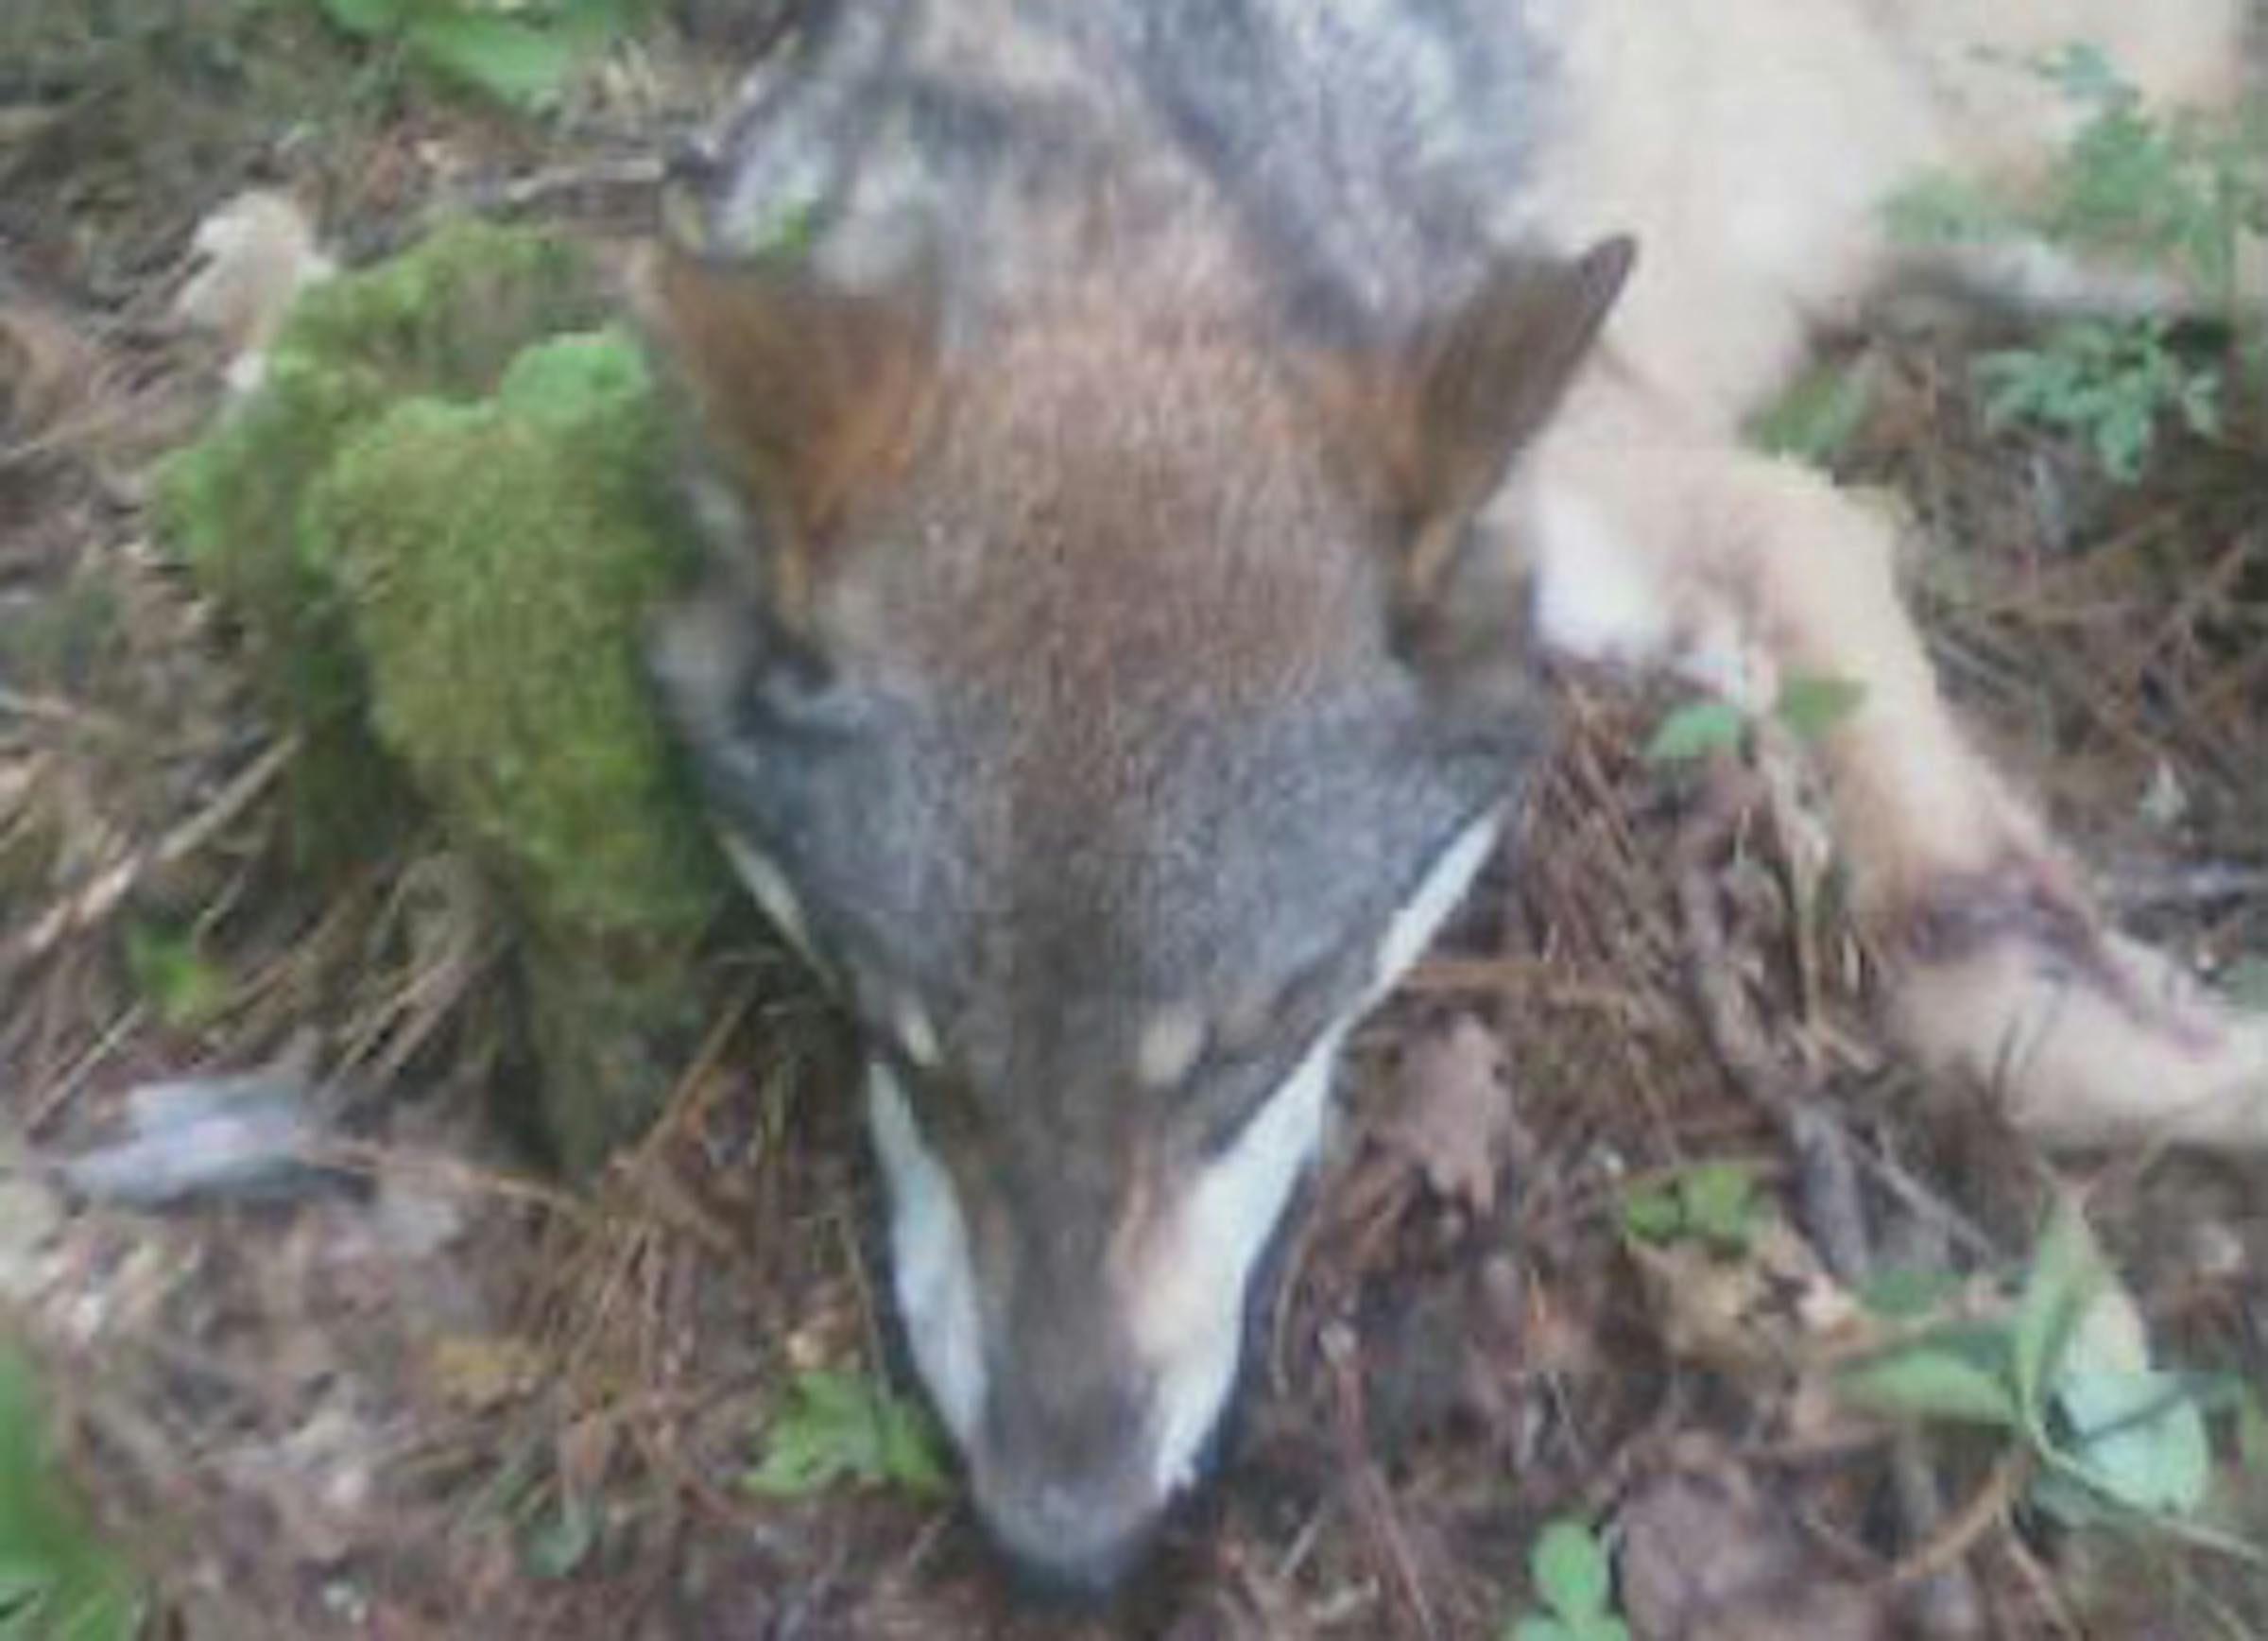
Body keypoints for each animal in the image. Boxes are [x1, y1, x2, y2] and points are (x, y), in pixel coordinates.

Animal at [637, 0, 2266, 1594]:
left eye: (1258, 1041)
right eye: (908, 1051)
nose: (1066, 1550)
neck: (1133, 221)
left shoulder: (1752, 512)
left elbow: (1972, 969)